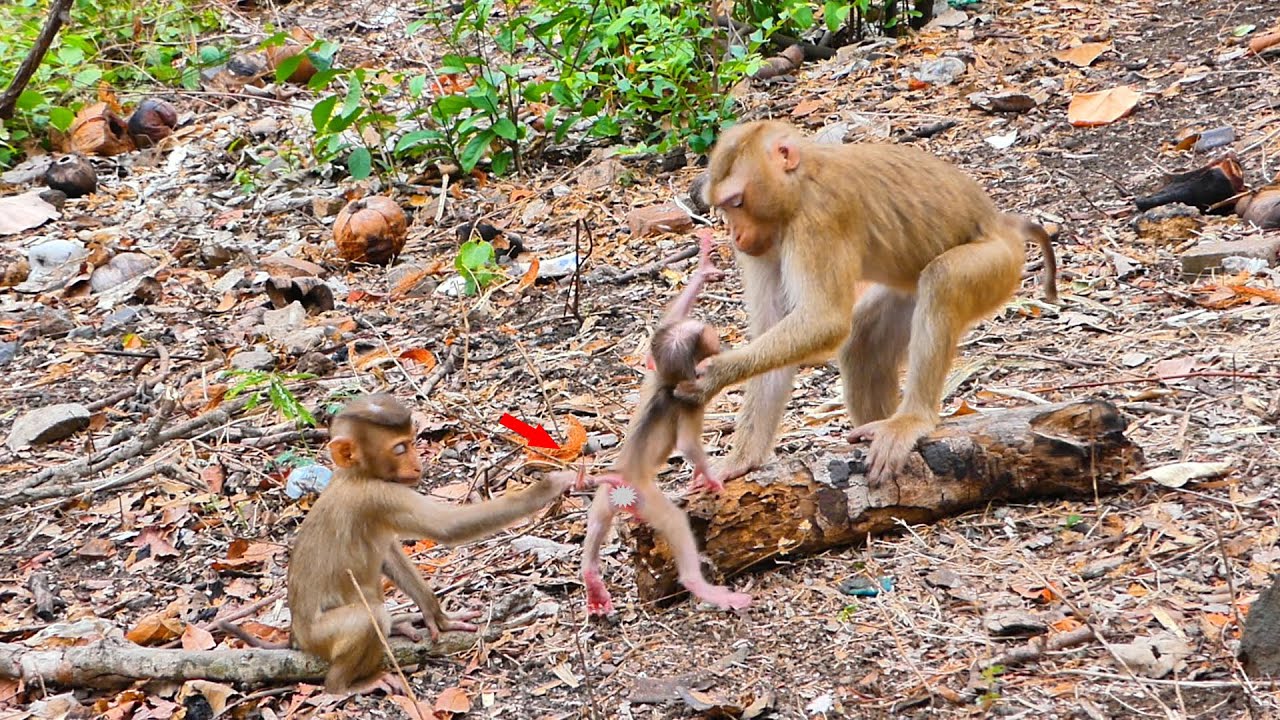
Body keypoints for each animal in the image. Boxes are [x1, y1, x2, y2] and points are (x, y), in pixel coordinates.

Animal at [286, 393, 574, 693]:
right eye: (400, 449)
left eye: (412, 443)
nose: (418, 464)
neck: (355, 475)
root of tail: (297, 639)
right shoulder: (380, 496)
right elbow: (446, 527)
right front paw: (549, 487)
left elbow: (391, 556)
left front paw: (437, 615)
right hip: (320, 637)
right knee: (368, 617)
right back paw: (344, 685)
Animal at [578, 231, 751, 616]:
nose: (718, 339)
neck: (669, 386)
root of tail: (621, 480)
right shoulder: (692, 399)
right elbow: (687, 445)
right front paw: (710, 477)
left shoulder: (653, 374)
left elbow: (665, 322)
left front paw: (701, 268)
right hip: (645, 499)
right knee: (674, 523)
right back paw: (702, 586)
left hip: (605, 499)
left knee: (595, 525)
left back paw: (592, 579)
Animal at [677, 119, 1058, 487]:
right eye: (725, 208)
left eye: (737, 202)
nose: (735, 236)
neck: (800, 185)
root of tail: (1002, 222)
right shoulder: (766, 243)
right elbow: (775, 333)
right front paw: (742, 458)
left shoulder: (819, 220)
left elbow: (825, 321)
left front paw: (713, 376)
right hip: (909, 289)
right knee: (865, 340)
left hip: (999, 263)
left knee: (944, 278)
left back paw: (912, 419)